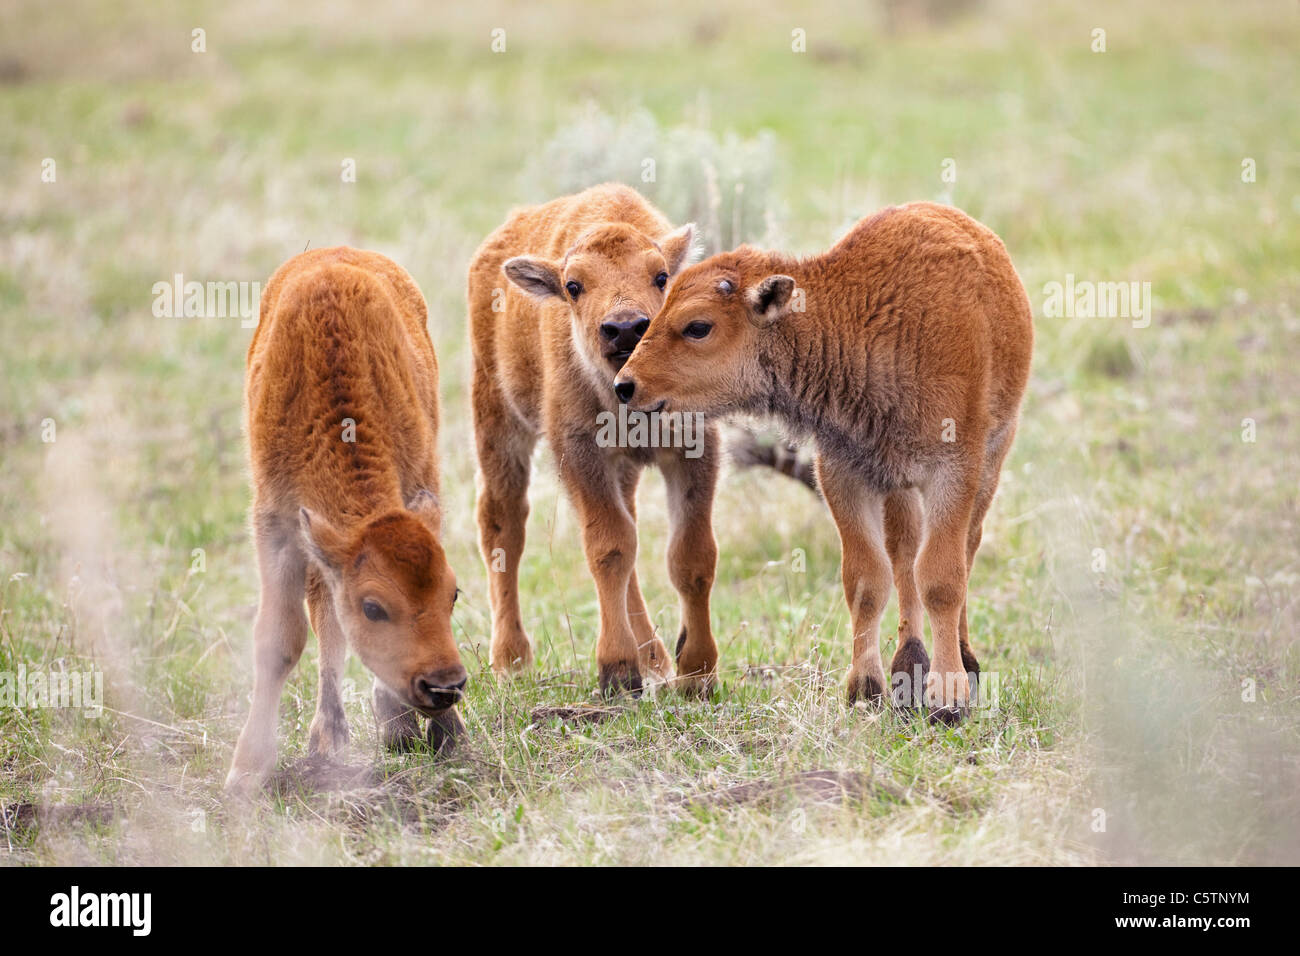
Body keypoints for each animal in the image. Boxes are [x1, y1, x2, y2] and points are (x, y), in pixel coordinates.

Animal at [226, 247, 465, 794]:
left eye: (454, 594)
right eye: (373, 607)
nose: (445, 686)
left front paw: (445, 734)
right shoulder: (277, 527)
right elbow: (281, 640)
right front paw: (246, 770)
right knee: (324, 621)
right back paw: (330, 738)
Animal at [468, 183, 720, 696]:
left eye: (661, 276)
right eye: (573, 286)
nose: (625, 327)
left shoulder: (693, 448)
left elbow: (691, 554)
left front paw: (697, 674)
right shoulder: (581, 453)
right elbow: (609, 548)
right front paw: (618, 672)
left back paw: (655, 658)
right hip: (498, 422)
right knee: (503, 525)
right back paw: (511, 661)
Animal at [615, 202, 1033, 721]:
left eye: (698, 325)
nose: (625, 385)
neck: (859, 322)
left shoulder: (953, 471)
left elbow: (942, 577)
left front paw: (949, 699)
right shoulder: (844, 473)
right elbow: (867, 579)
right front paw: (865, 689)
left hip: (993, 453)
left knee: (965, 548)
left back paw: (961, 659)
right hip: (897, 485)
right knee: (903, 554)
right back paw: (908, 661)